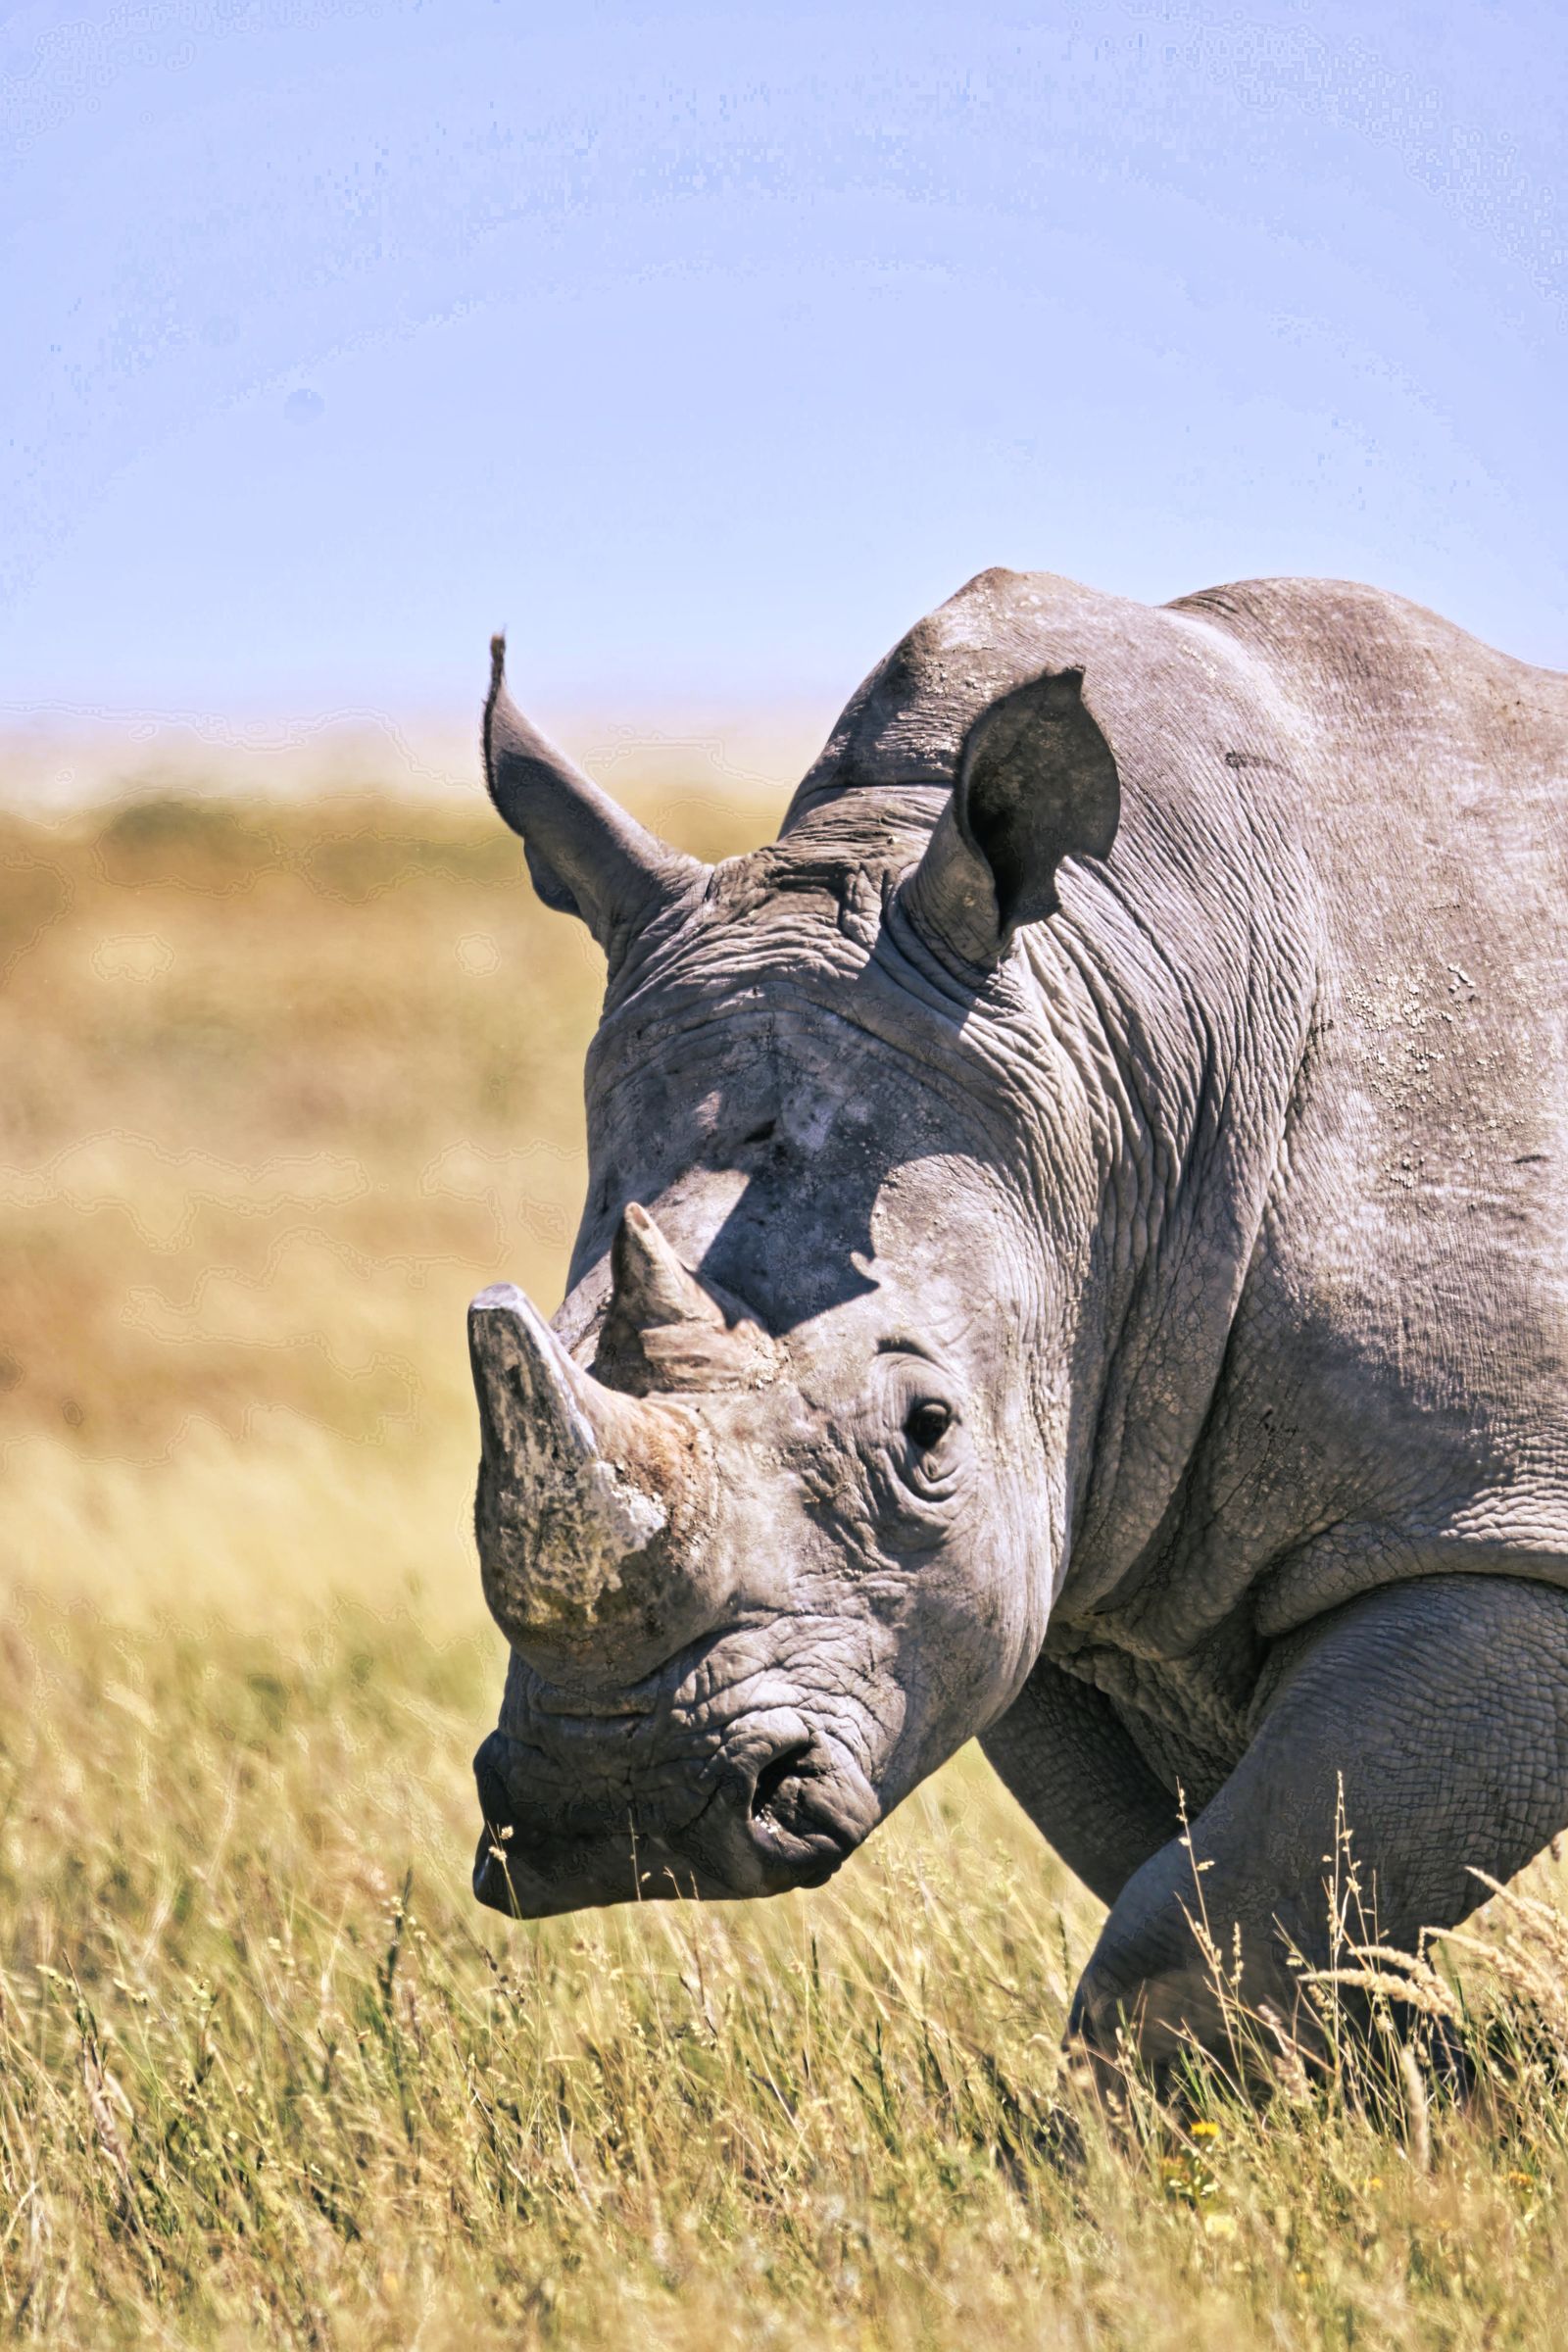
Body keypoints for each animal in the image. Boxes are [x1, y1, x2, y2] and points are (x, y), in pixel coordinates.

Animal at [466, 566, 1568, 2074]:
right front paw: (1369, 2069)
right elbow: (1208, 1875)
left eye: (927, 1431)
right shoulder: (1058, 1522)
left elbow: (1215, 1908)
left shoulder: (1496, 1518)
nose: (617, 1806)